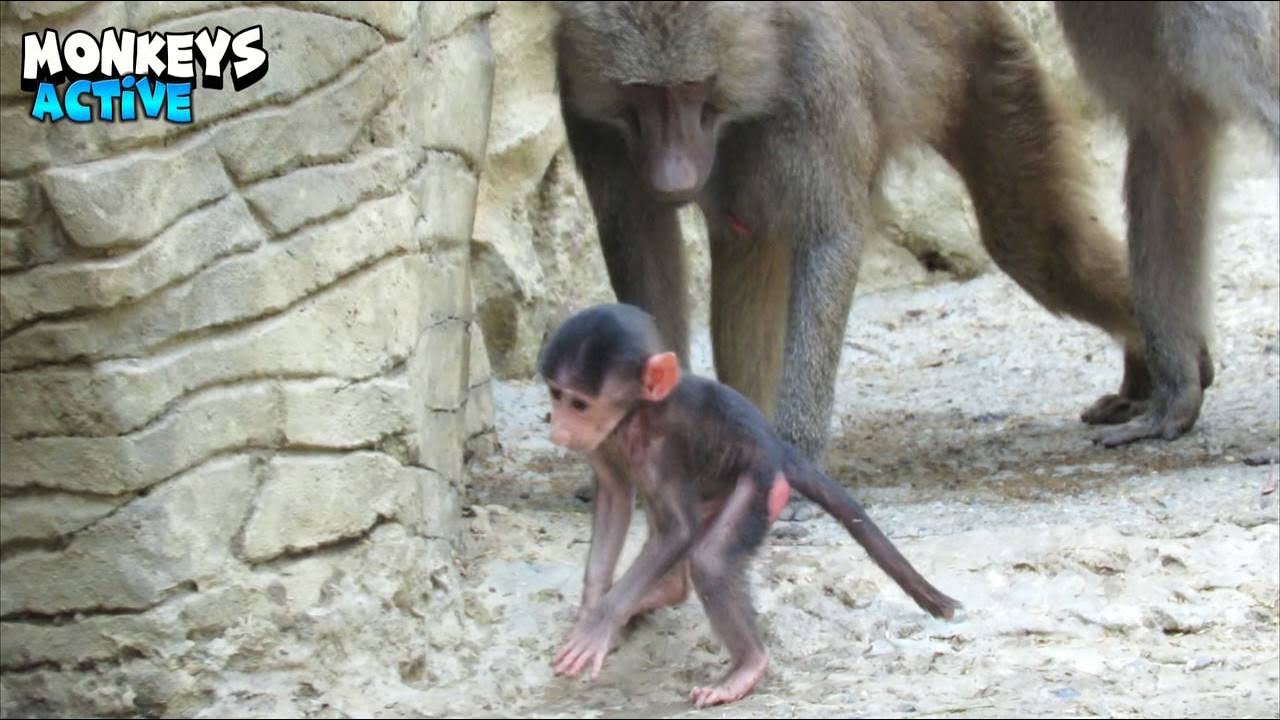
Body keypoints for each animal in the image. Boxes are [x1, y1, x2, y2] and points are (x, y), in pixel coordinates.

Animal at [538, 303, 960, 708]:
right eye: (556, 395)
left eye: (580, 404)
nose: (558, 431)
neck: (637, 414)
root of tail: (776, 448)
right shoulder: (605, 442)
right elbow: (615, 495)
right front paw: (591, 611)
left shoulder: (664, 450)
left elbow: (678, 530)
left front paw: (601, 622)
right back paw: (667, 591)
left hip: (761, 486)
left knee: (710, 558)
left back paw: (747, 666)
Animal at [553, 2, 1153, 486]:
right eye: (643, 94)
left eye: (693, 89)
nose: (673, 175)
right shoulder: (586, 103)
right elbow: (642, 242)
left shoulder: (818, 87)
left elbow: (829, 239)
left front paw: (795, 456)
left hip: (991, 66)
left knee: (1036, 247)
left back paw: (1155, 376)